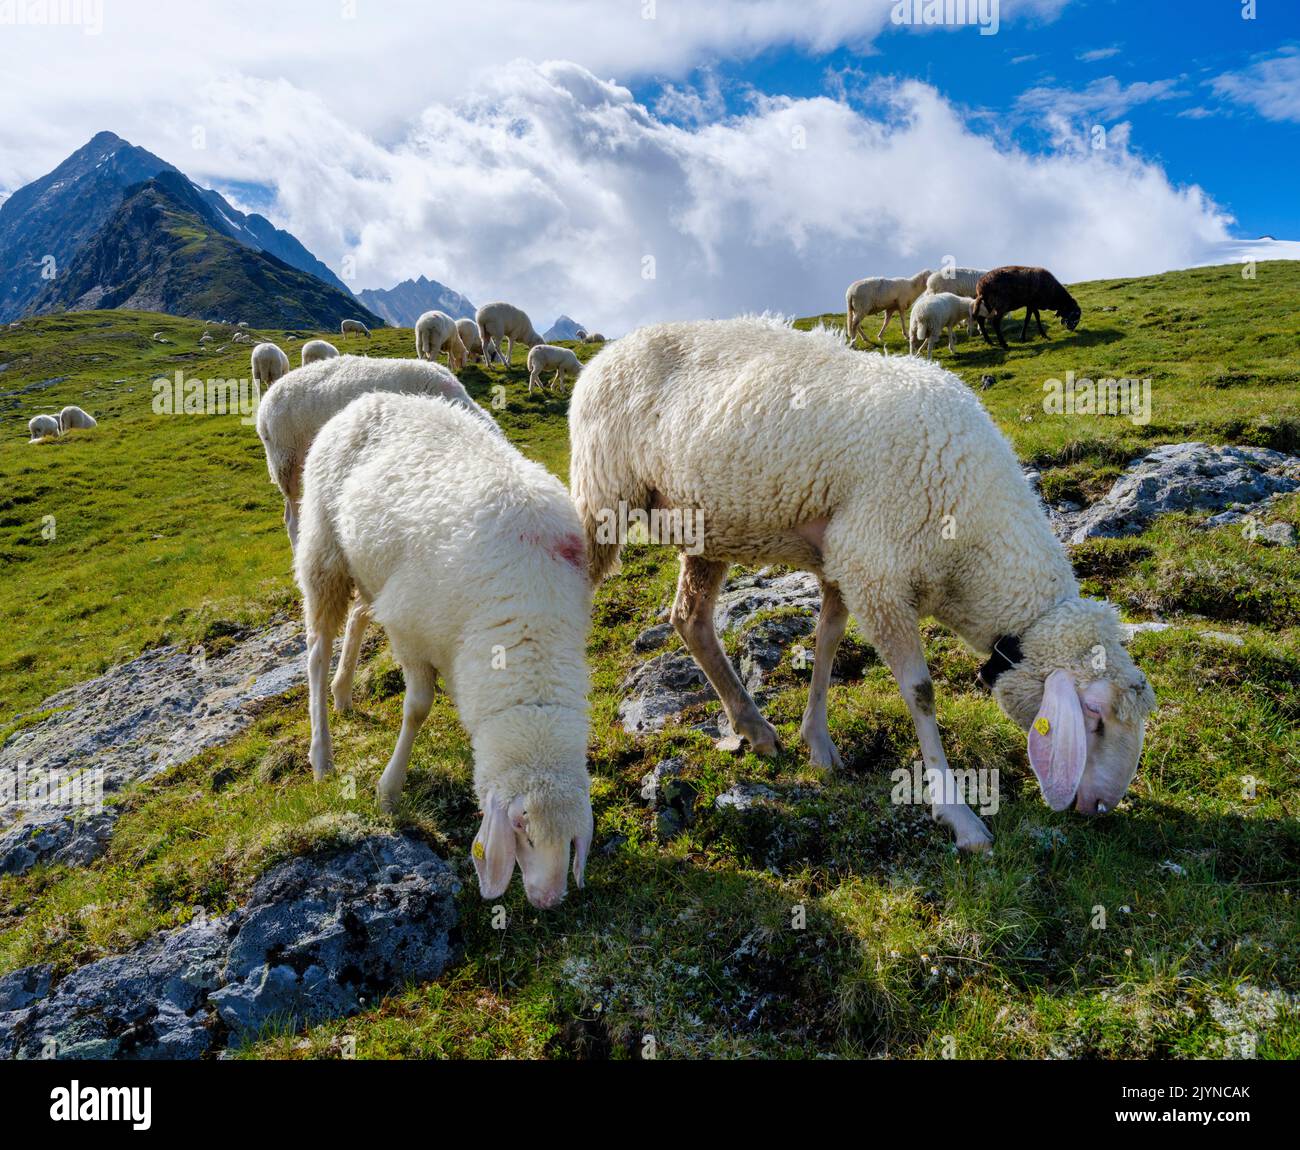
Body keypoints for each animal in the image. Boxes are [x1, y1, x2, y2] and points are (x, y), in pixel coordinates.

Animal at [296, 391, 594, 908]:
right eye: (523, 830)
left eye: (572, 839)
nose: (549, 900)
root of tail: (367, 399)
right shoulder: (412, 629)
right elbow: (417, 707)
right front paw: (389, 791)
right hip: (324, 551)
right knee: (316, 651)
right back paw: (322, 753)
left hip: (371, 568)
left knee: (359, 617)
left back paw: (344, 692)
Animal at [568, 317, 1156, 852]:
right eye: (1094, 717)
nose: (1102, 807)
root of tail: (607, 352)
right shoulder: (874, 566)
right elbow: (920, 693)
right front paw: (958, 816)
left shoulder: (847, 563)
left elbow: (827, 642)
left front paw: (819, 744)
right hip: (603, 497)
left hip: (704, 526)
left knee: (689, 620)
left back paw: (754, 728)